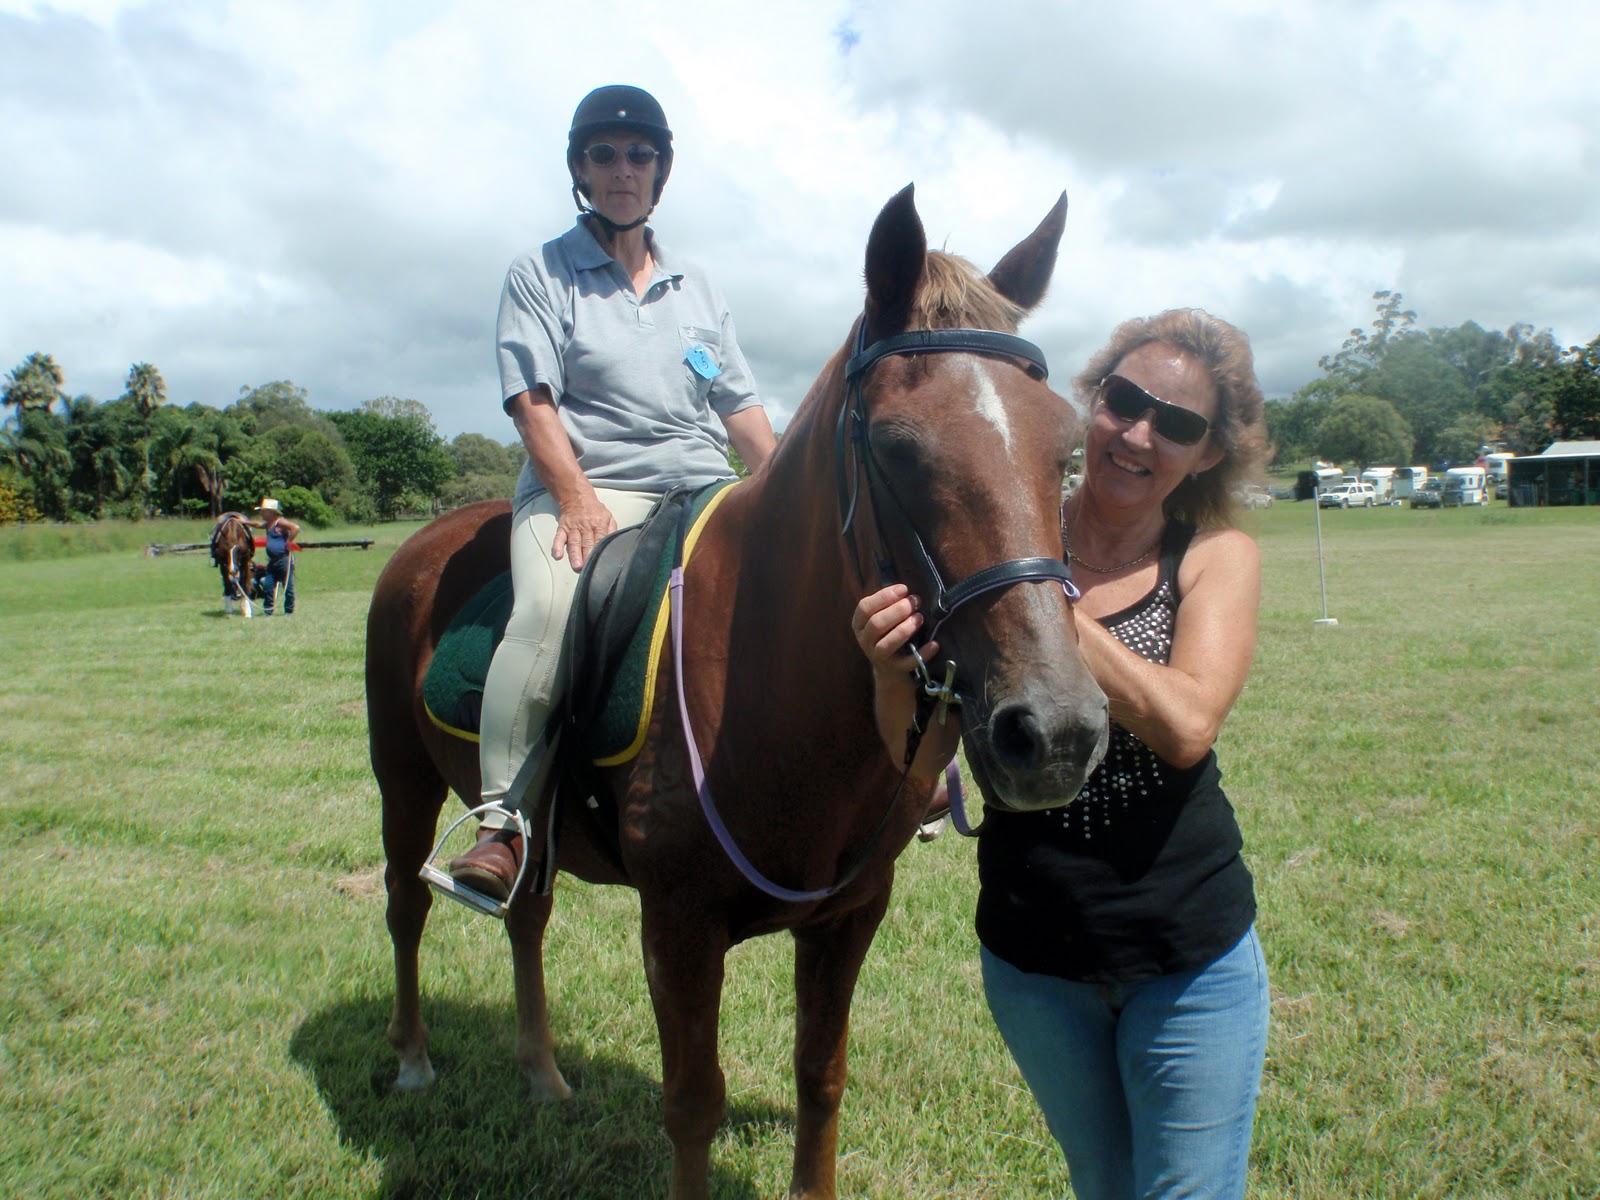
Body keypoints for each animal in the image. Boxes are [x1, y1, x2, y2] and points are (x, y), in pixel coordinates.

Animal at [368, 185, 1110, 1200]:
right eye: (896, 447)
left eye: (1068, 452)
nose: (1056, 732)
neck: (769, 674)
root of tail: (426, 538)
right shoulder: (679, 927)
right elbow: (693, 1105)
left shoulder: (848, 916)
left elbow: (821, 1077)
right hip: (400, 778)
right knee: (407, 904)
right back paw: (409, 1057)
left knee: (528, 915)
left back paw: (543, 1072)